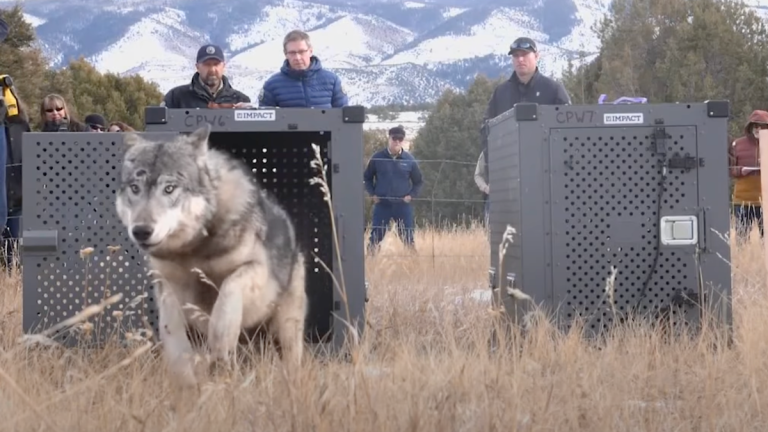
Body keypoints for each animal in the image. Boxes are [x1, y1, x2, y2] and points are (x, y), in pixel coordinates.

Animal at [114, 124, 308, 386]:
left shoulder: (255, 270)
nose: (141, 231)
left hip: (285, 329)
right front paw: (183, 377)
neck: (194, 251)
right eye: (135, 189)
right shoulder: (167, 285)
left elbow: (227, 294)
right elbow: (171, 331)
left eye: (169, 188)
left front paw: (221, 342)